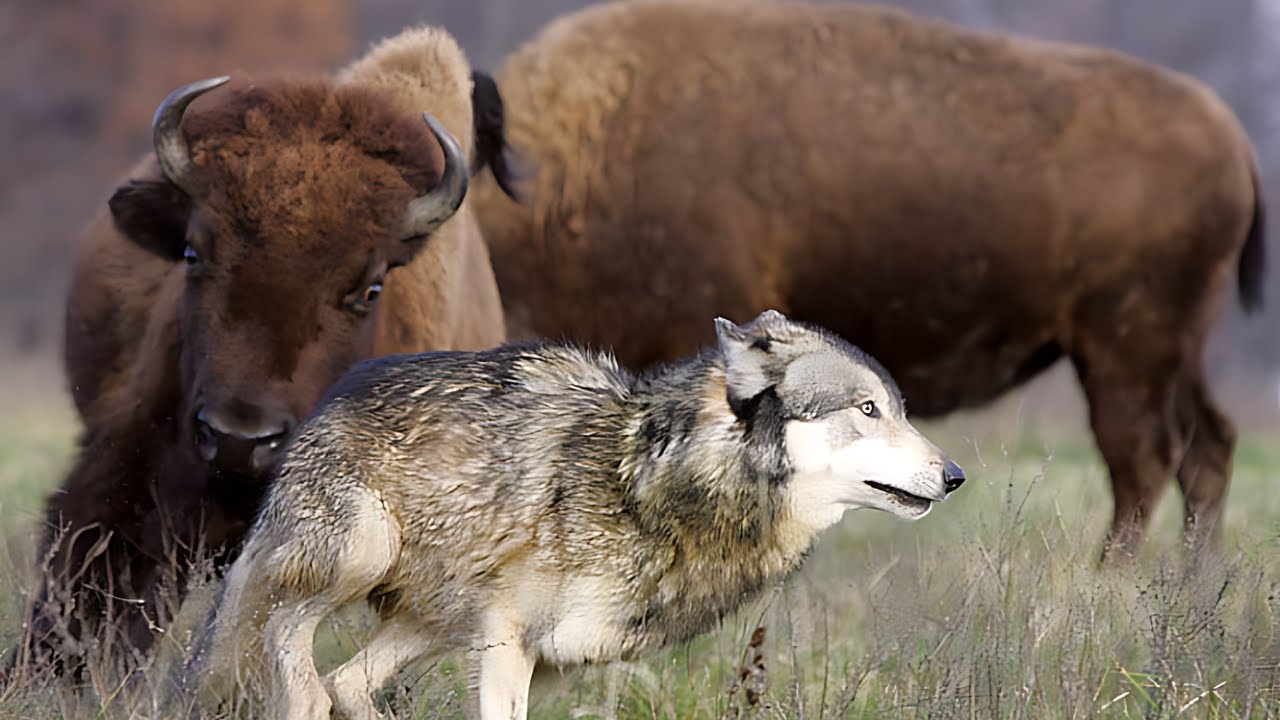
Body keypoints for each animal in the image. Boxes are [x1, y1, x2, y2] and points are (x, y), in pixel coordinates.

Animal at [189, 309, 965, 720]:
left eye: (898, 409)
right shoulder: (506, 643)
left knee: (346, 682)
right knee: (288, 634)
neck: (653, 485)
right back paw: (299, 698)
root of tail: (332, 397)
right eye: (867, 409)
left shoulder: (560, 662)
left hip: (430, 625)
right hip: (362, 553)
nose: (955, 476)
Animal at [470, 0, 1267, 564]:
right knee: (1207, 448)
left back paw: (1115, 579)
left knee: (1144, 456)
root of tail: (1232, 139)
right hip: (1169, 350)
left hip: (1126, 345)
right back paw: (1193, 586)